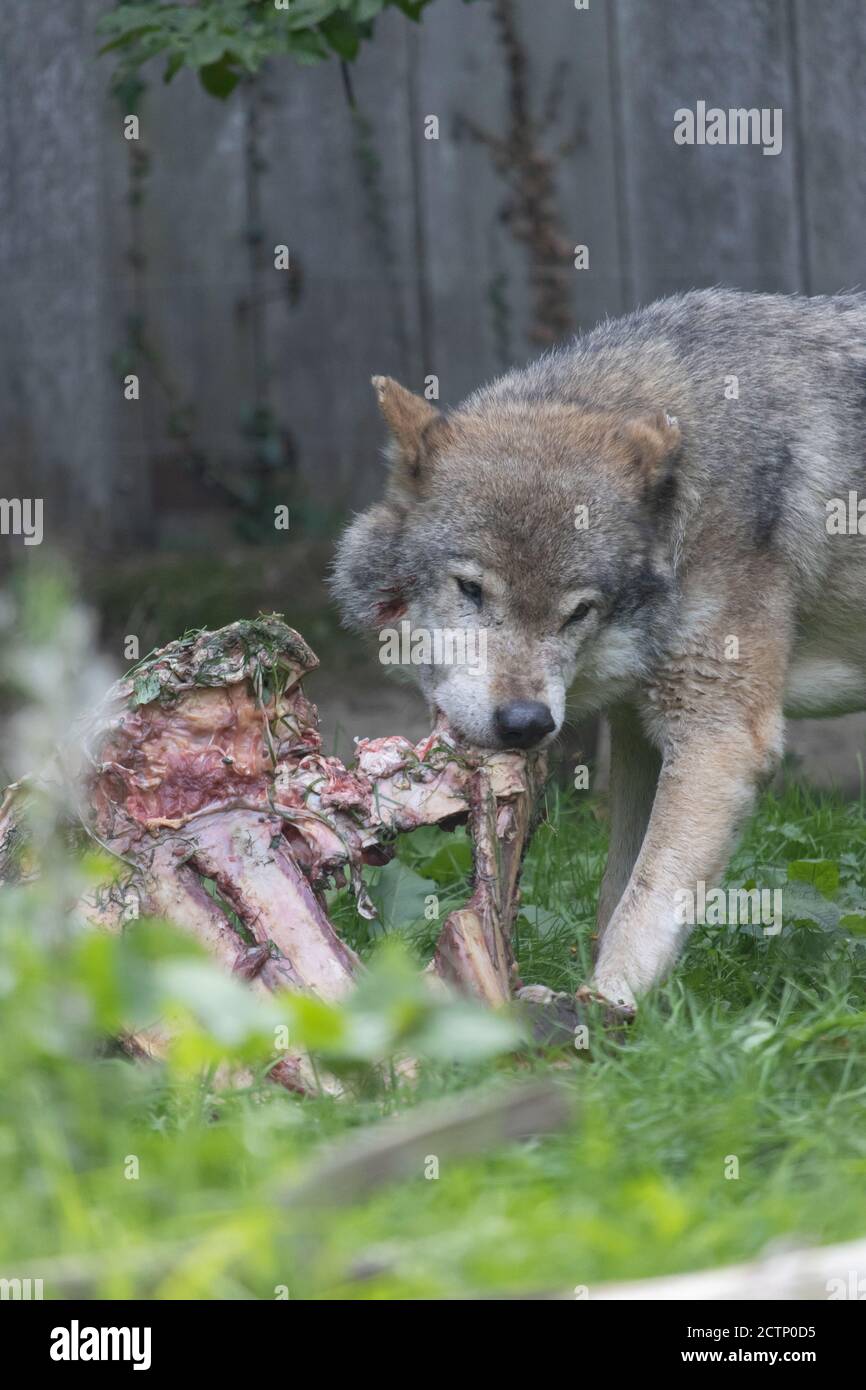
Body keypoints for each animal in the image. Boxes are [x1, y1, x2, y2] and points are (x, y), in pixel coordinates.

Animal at [331, 288, 866, 1014]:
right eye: (471, 588)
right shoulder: (641, 732)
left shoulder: (721, 738)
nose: (526, 722)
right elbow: (616, 888)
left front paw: (605, 1011)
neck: (683, 512)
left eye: (578, 611)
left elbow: (648, 899)